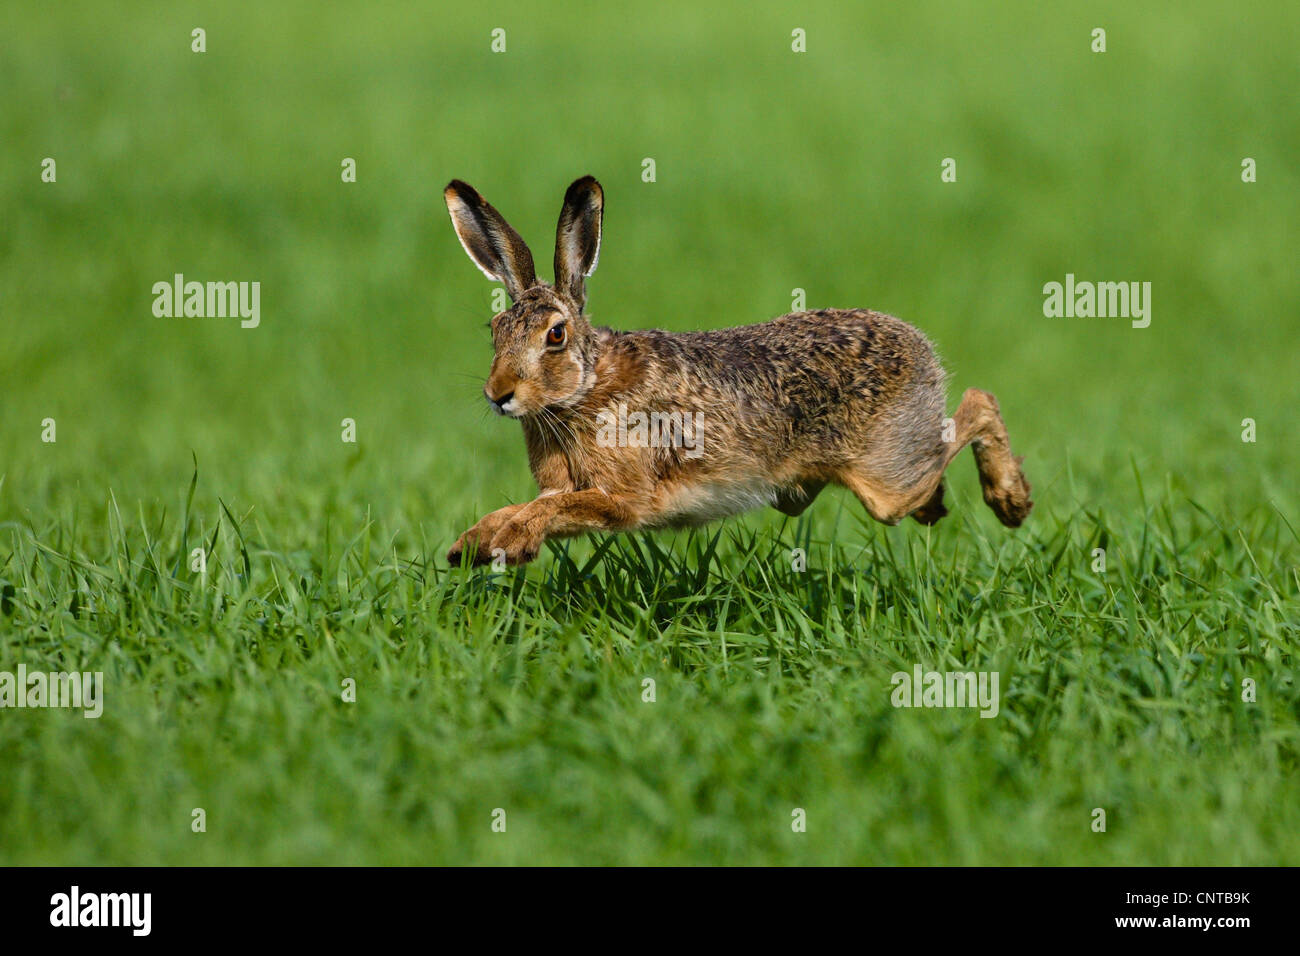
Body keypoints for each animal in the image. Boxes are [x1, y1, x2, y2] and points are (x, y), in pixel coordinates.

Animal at [443, 175, 1032, 566]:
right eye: (495, 330)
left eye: (555, 335)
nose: (499, 394)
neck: (586, 390)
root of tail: (919, 347)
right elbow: (528, 507)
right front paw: (471, 545)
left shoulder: (624, 498)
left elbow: (562, 508)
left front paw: (508, 544)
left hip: (887, 476)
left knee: (978, 404)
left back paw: (1011, 501)